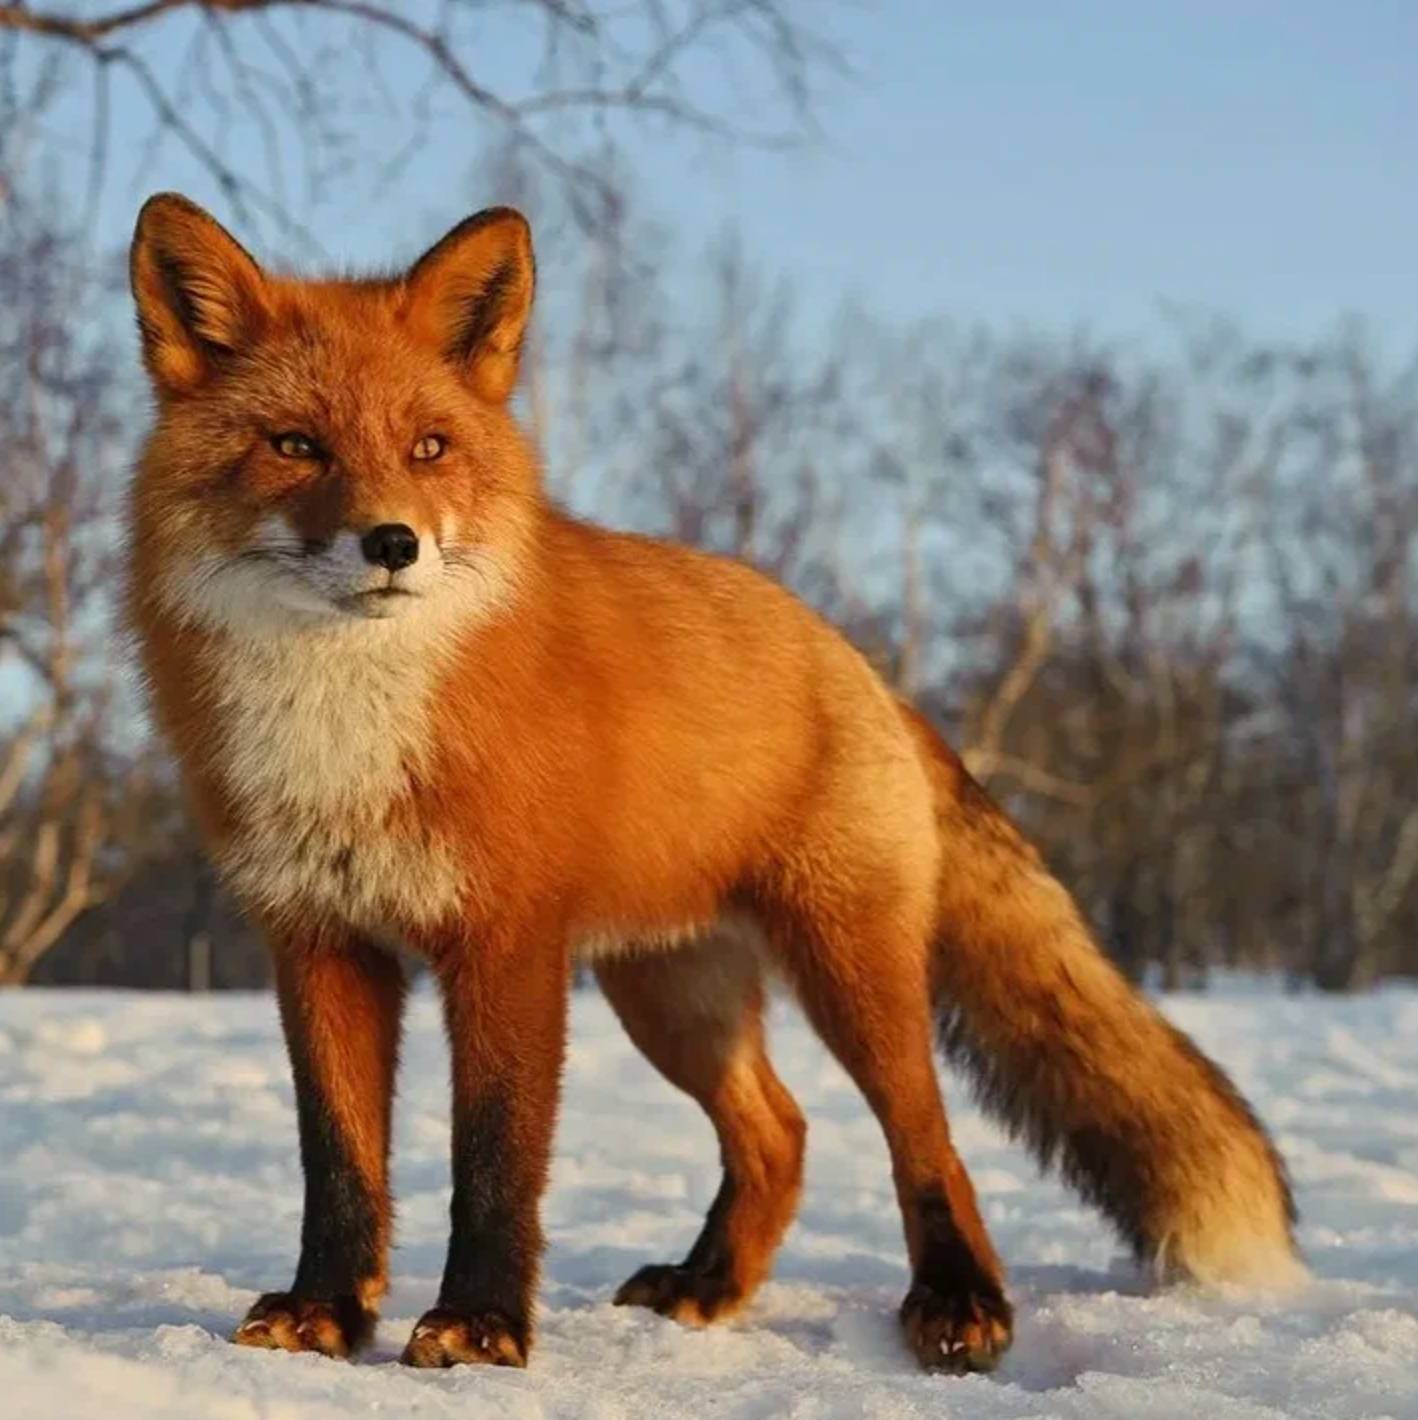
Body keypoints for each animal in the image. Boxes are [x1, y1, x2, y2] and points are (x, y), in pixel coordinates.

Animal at [126, 192, 1304, 1375]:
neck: (345, 727)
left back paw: (960, 1303)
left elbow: (495, 1157)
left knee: (925, 1137)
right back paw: (709, 1285)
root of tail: (855, 661)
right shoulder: (318, 939)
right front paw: (325, 1312)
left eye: (428, 448)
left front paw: (483, 1325)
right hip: (672, 996)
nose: (393, 542)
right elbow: (338, 1160)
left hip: (846, 973)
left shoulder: (506, 942)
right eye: (294, 445)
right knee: (779, 1132)